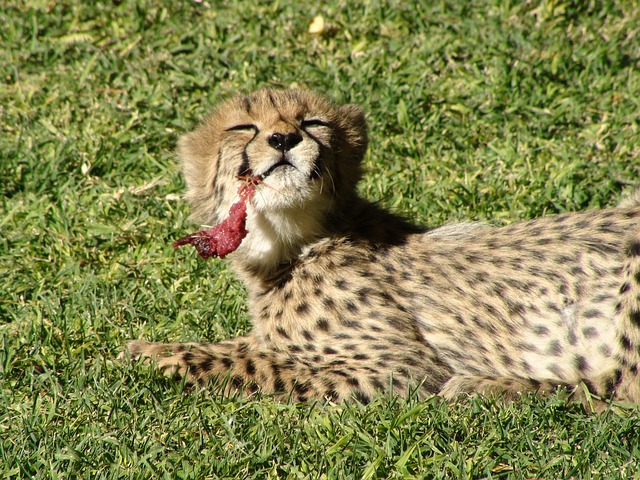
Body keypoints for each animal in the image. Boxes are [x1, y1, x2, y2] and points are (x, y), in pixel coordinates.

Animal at [125, 88, 640, 407]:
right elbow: (245, 345)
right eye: (243, 127)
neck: (294, 243)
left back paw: (483, 387)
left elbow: (261, 363)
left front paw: (157, 358)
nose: (284, 138)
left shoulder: (401, 370)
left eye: (312, 122)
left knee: (619, 397)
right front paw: (152, 346)